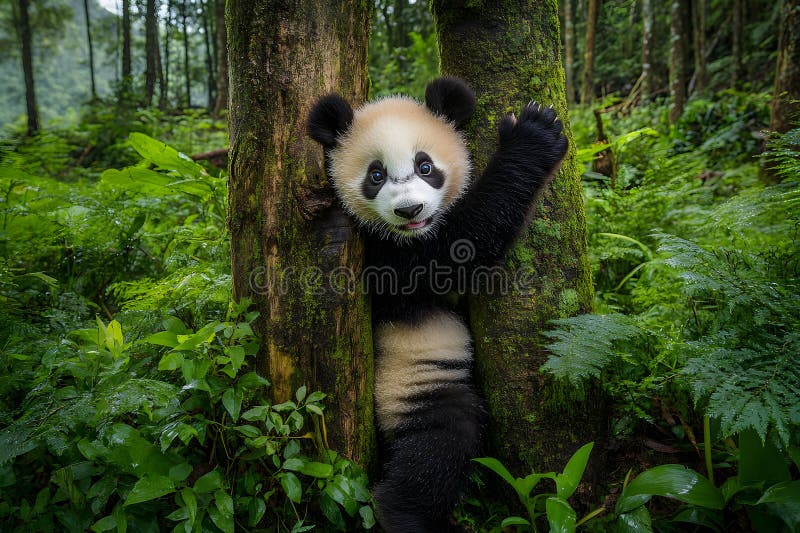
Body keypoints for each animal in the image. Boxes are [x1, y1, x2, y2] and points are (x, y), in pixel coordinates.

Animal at [307, 77, 568, 533]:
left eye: (425, 166)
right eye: (375, 175)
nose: (409, 209)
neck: (411, 233)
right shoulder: (384, 254)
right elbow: (459, 249)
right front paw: (534, 135)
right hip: (408, 379)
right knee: (441, 441)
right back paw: (405, 513)